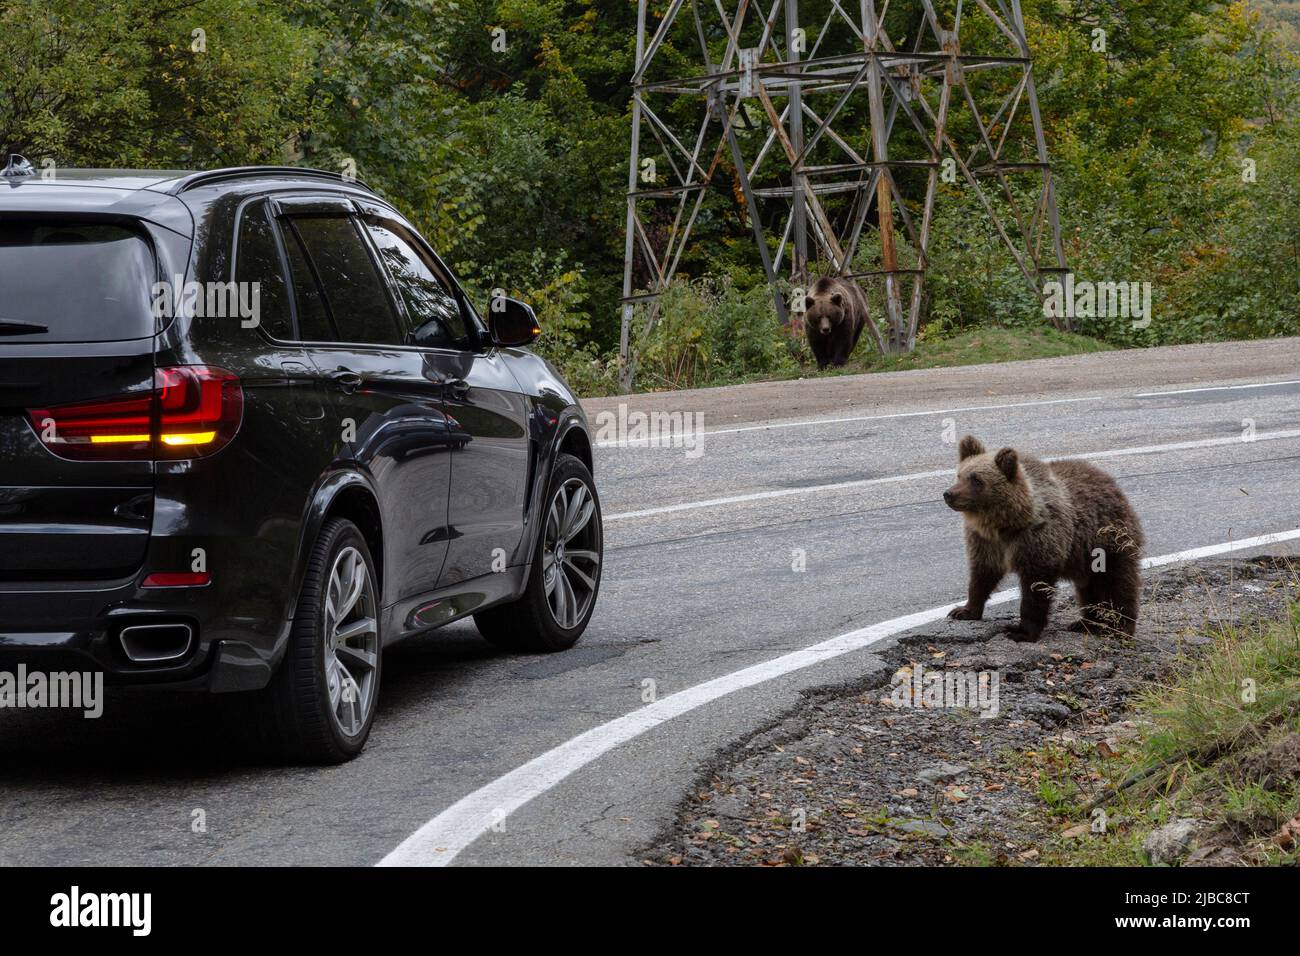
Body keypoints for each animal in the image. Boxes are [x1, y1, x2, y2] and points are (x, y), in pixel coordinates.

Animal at [942, 435, 1145, 642]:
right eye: (959, 475)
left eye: (976, 480)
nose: (949, 494)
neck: (1005, 524)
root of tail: (1112, 483)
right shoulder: (985, 541)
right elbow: (982, 575)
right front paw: (964, 610)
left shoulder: (1038, 538)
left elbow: (1035, 587)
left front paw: (1021, 631)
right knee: (1088, 588)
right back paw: (1085, 623)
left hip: (1107, 541)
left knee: (1117, 583)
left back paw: (1120, 627)